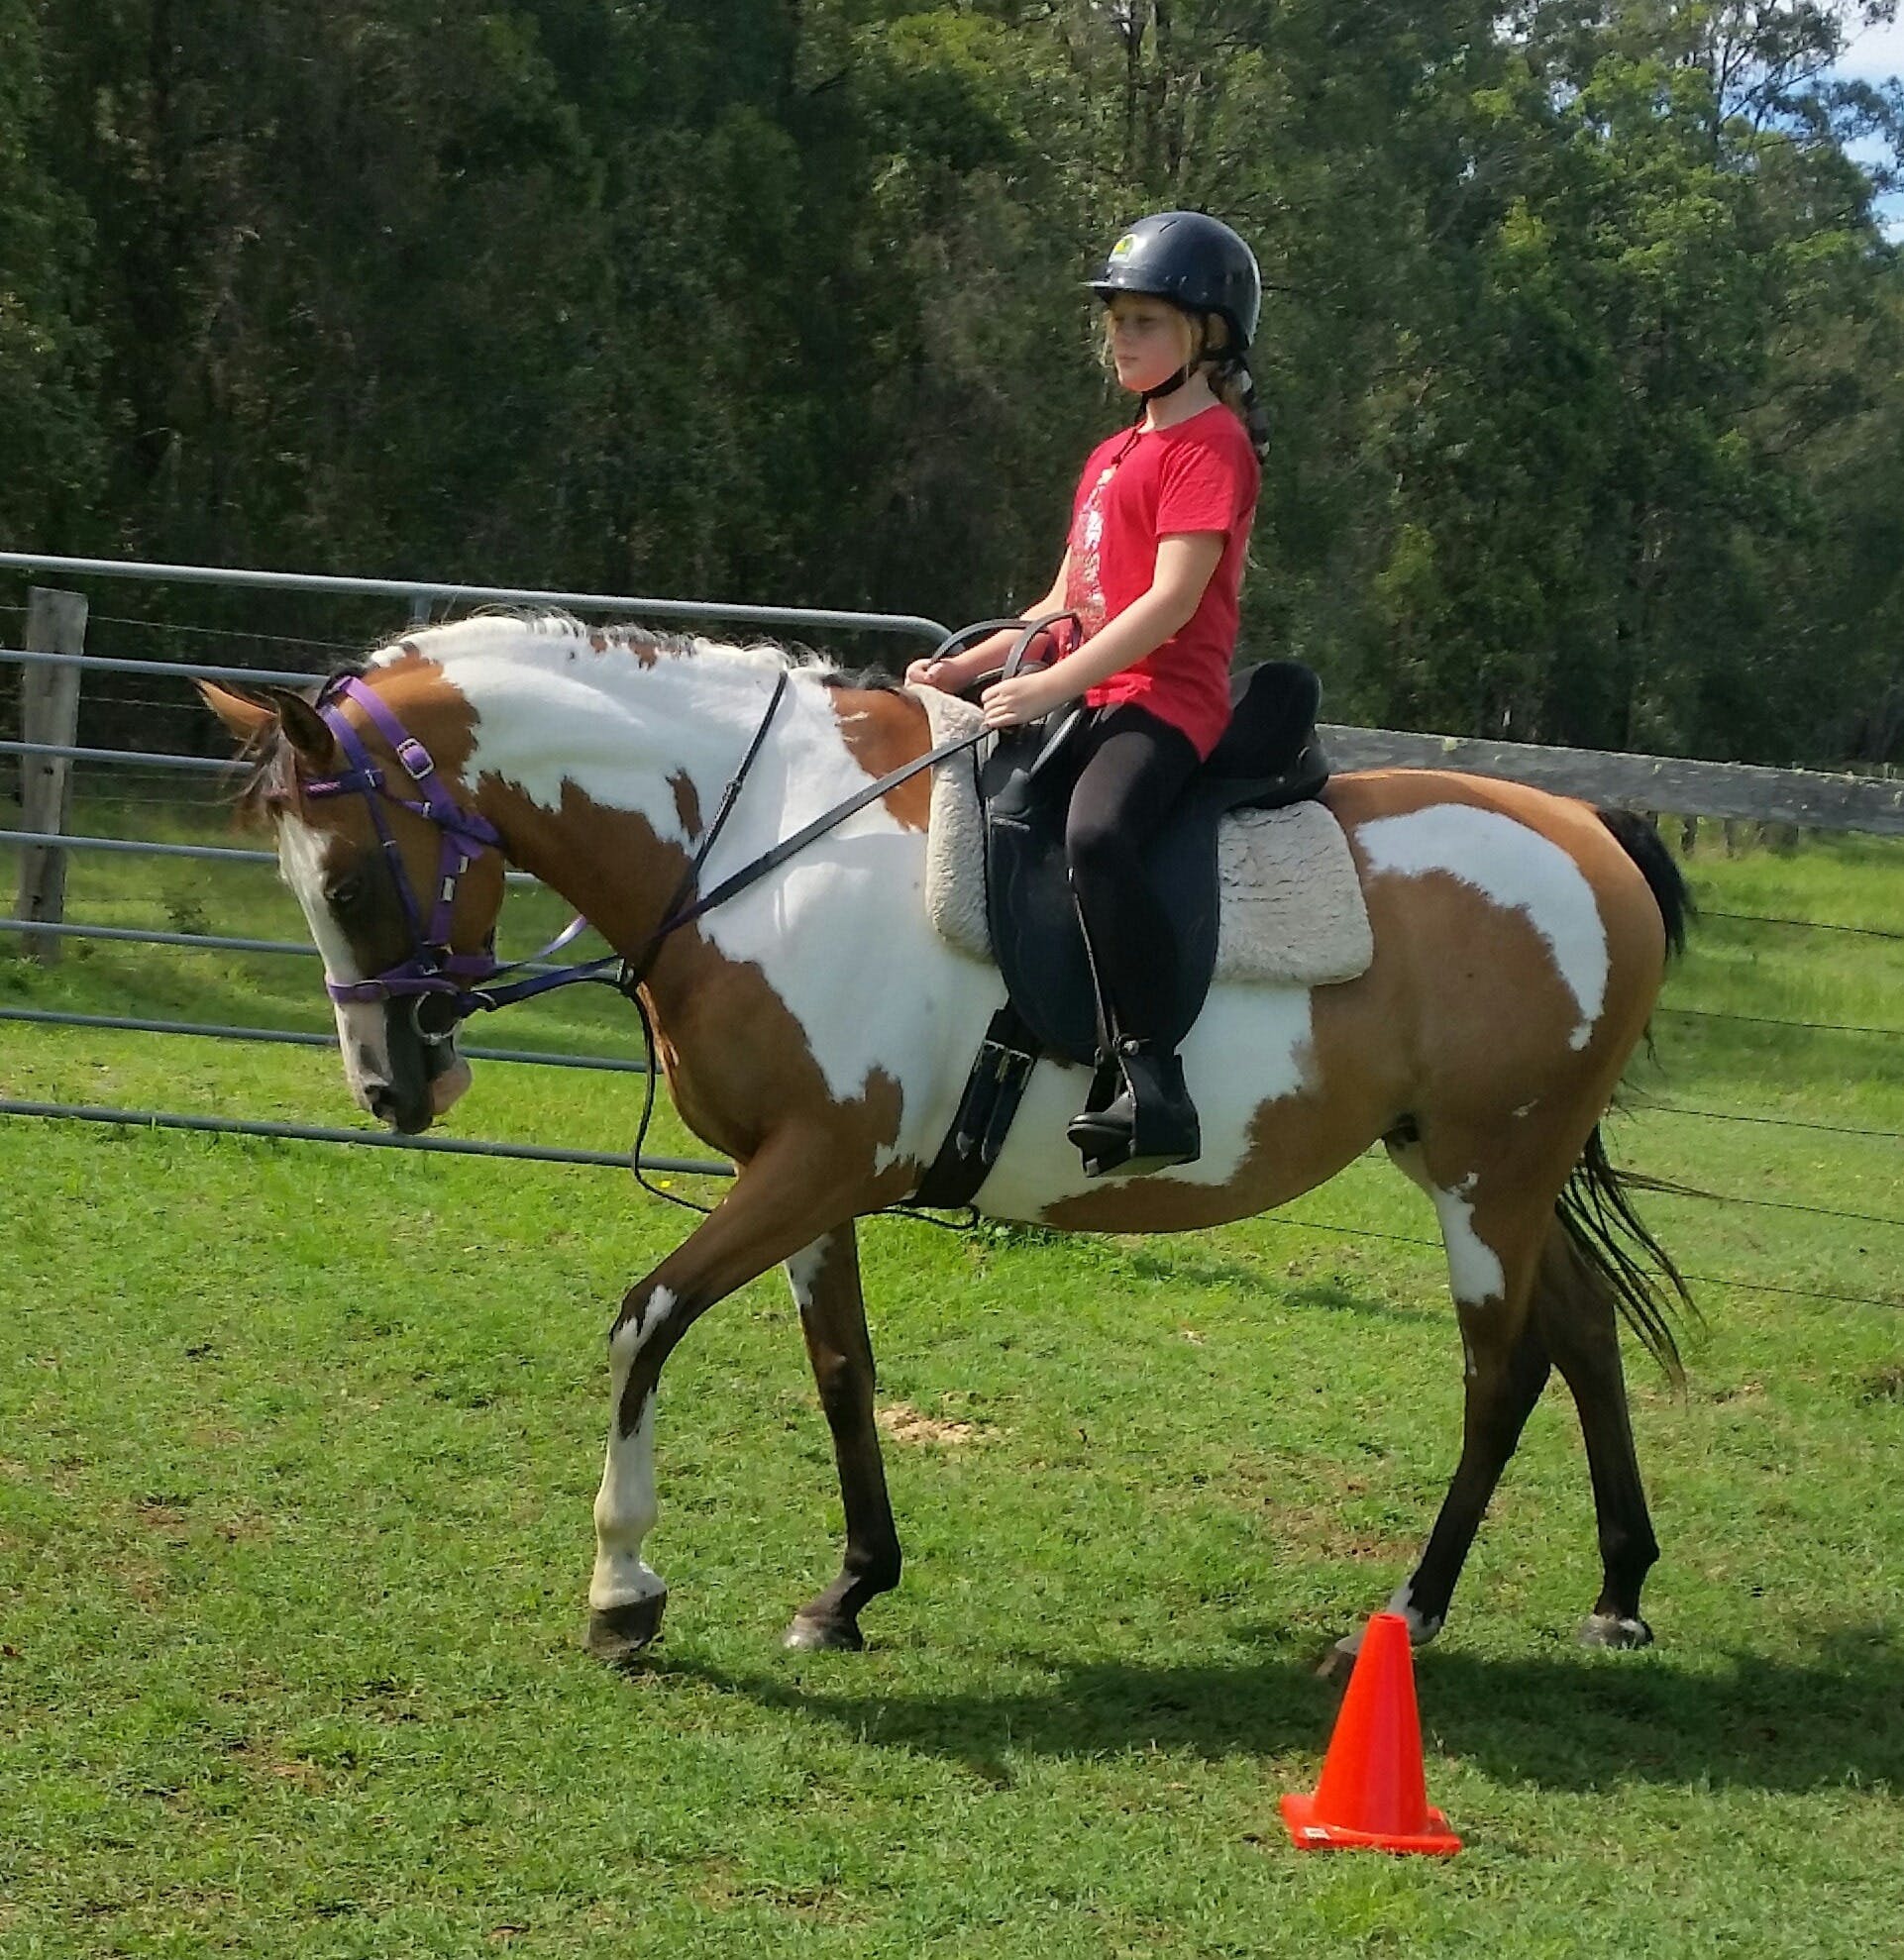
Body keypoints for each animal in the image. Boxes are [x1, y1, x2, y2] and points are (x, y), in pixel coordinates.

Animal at [201, 611, 1693, 1668]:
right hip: (1481, 1167)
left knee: (1499, 1377)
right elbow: (841, 1368)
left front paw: (622, 1586)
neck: (758, 841)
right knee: (1580, 1327)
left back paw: (1404, 1615)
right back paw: (1618, 1588)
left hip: (1483, 1177)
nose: (390, 1088)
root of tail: (1587, 825)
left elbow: (645, 1319)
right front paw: (849, 1589)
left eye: (348, 881)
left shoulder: (813, 1163)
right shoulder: (806, 1173)